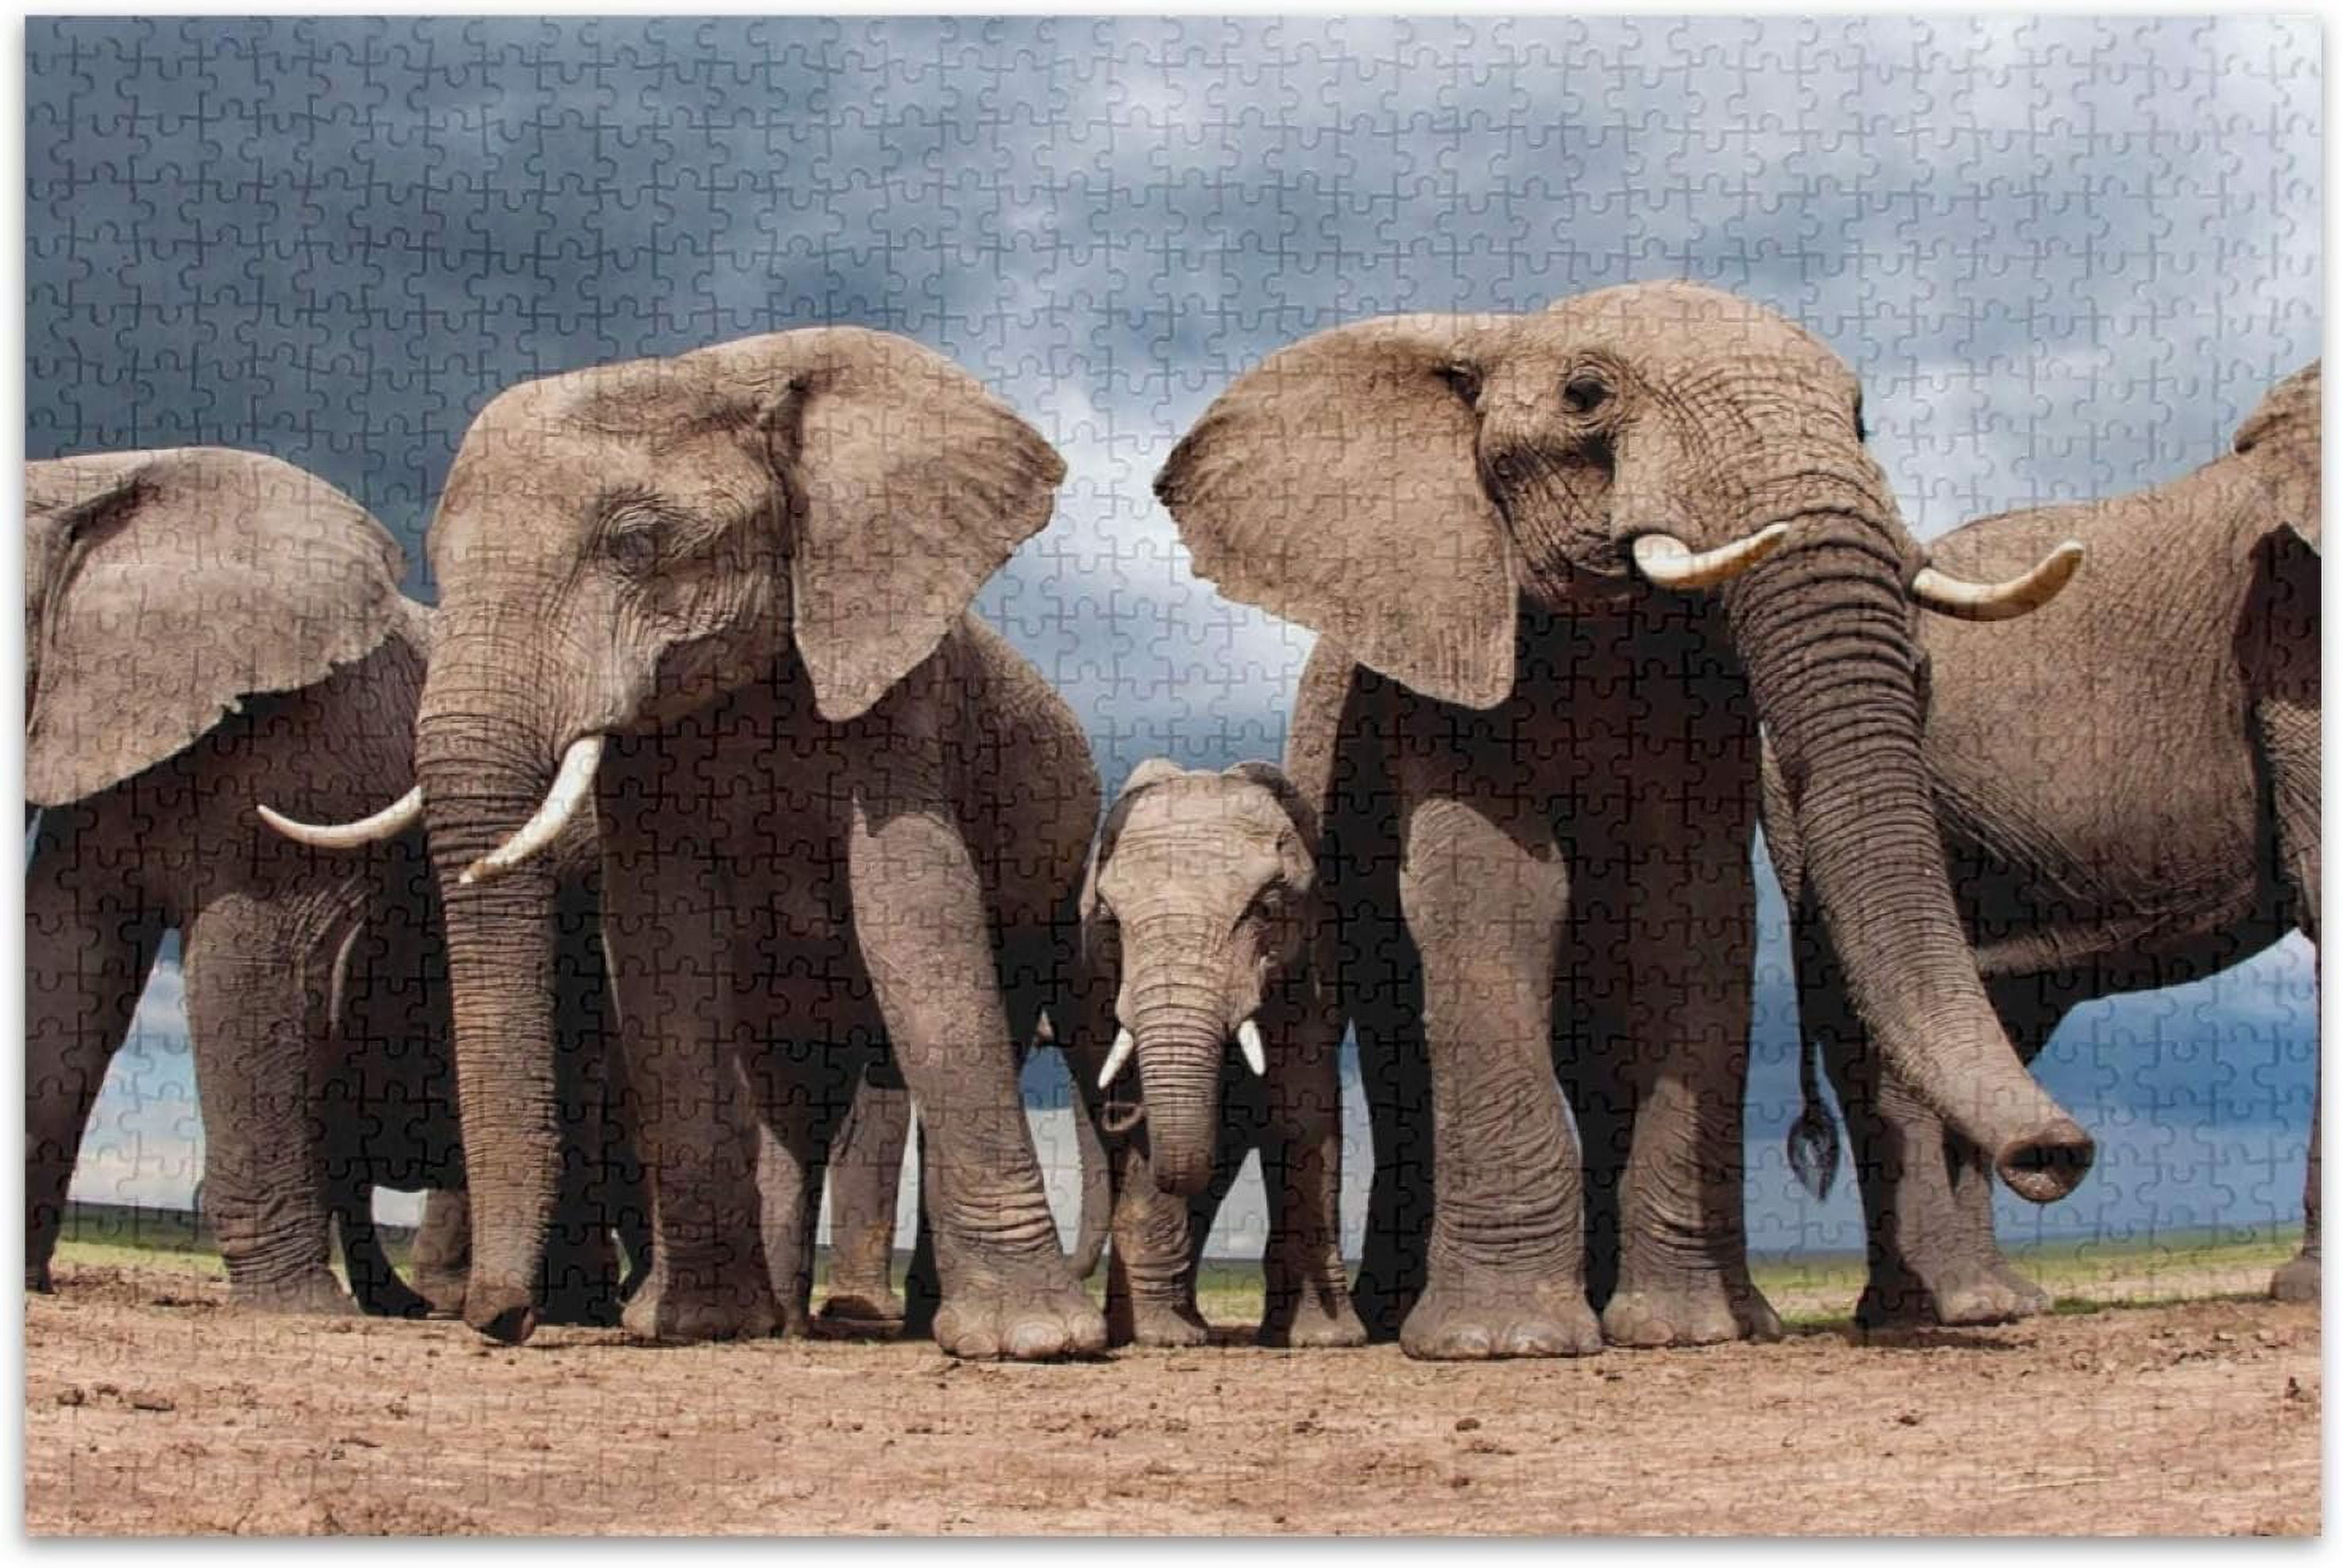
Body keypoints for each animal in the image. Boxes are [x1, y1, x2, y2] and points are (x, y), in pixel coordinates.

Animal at [280, 327, 1108, 1357]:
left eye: (635, 544)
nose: (501, 1319)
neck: (722, 371)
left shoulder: (896, 684)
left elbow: (914, 915)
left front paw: (1036, 1343)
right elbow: (658, 933)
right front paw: (695, 1325)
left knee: (993, 993)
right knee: (786, 1080)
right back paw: (785, 1324)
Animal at [1061, 760, 1362, 1349]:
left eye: (1267, 910)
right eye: (1108, 921)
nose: (1117, 1112)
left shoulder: (1312, 965)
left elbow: (1304, 1115)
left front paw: (1327, 1339)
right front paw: (1163, 1339)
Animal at [1155, 280, 2096, 1359]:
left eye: (1860, 418)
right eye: (1584, 397)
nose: (2057, 1154)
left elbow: (1688, 919)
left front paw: (1691, 1332)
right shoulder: (1442, 672)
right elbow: (1494, 899)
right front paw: (1508, 1343)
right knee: (1392, 1033)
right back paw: (1396, 1317)